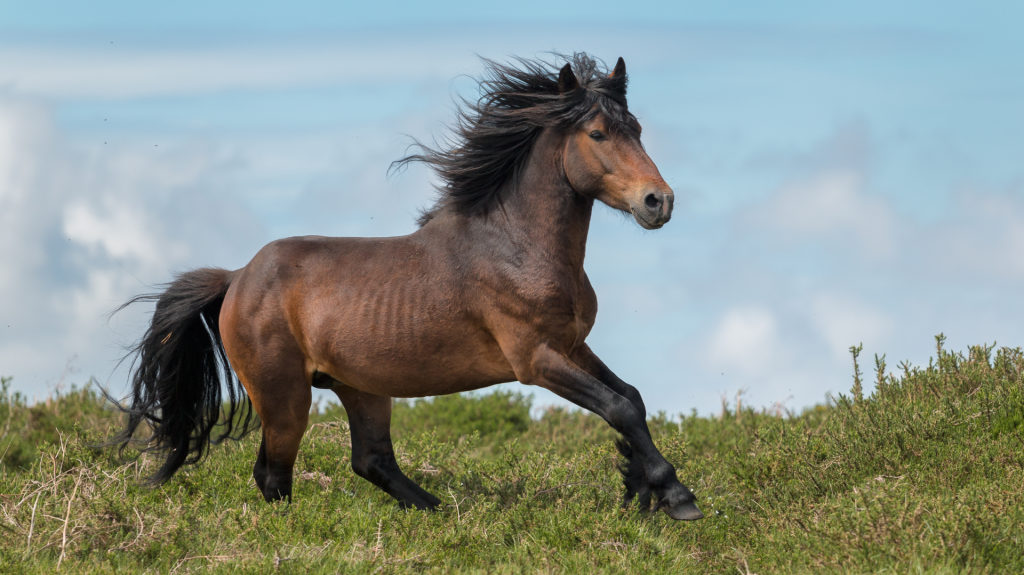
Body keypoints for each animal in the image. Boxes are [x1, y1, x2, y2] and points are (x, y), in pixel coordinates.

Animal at [112, 54, 703, 521]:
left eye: (638, 129)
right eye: (597, 134)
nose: (659, 201)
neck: (515, 246)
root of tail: (236, 278)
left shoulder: (574, 345)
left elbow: (631, 398)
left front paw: (638, 486)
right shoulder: (535, 359)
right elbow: (619, 407)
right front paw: (675, 497)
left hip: (362, 387)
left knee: (371, 460)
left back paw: (439, 513)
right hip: (285, 395)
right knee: (274, 474)